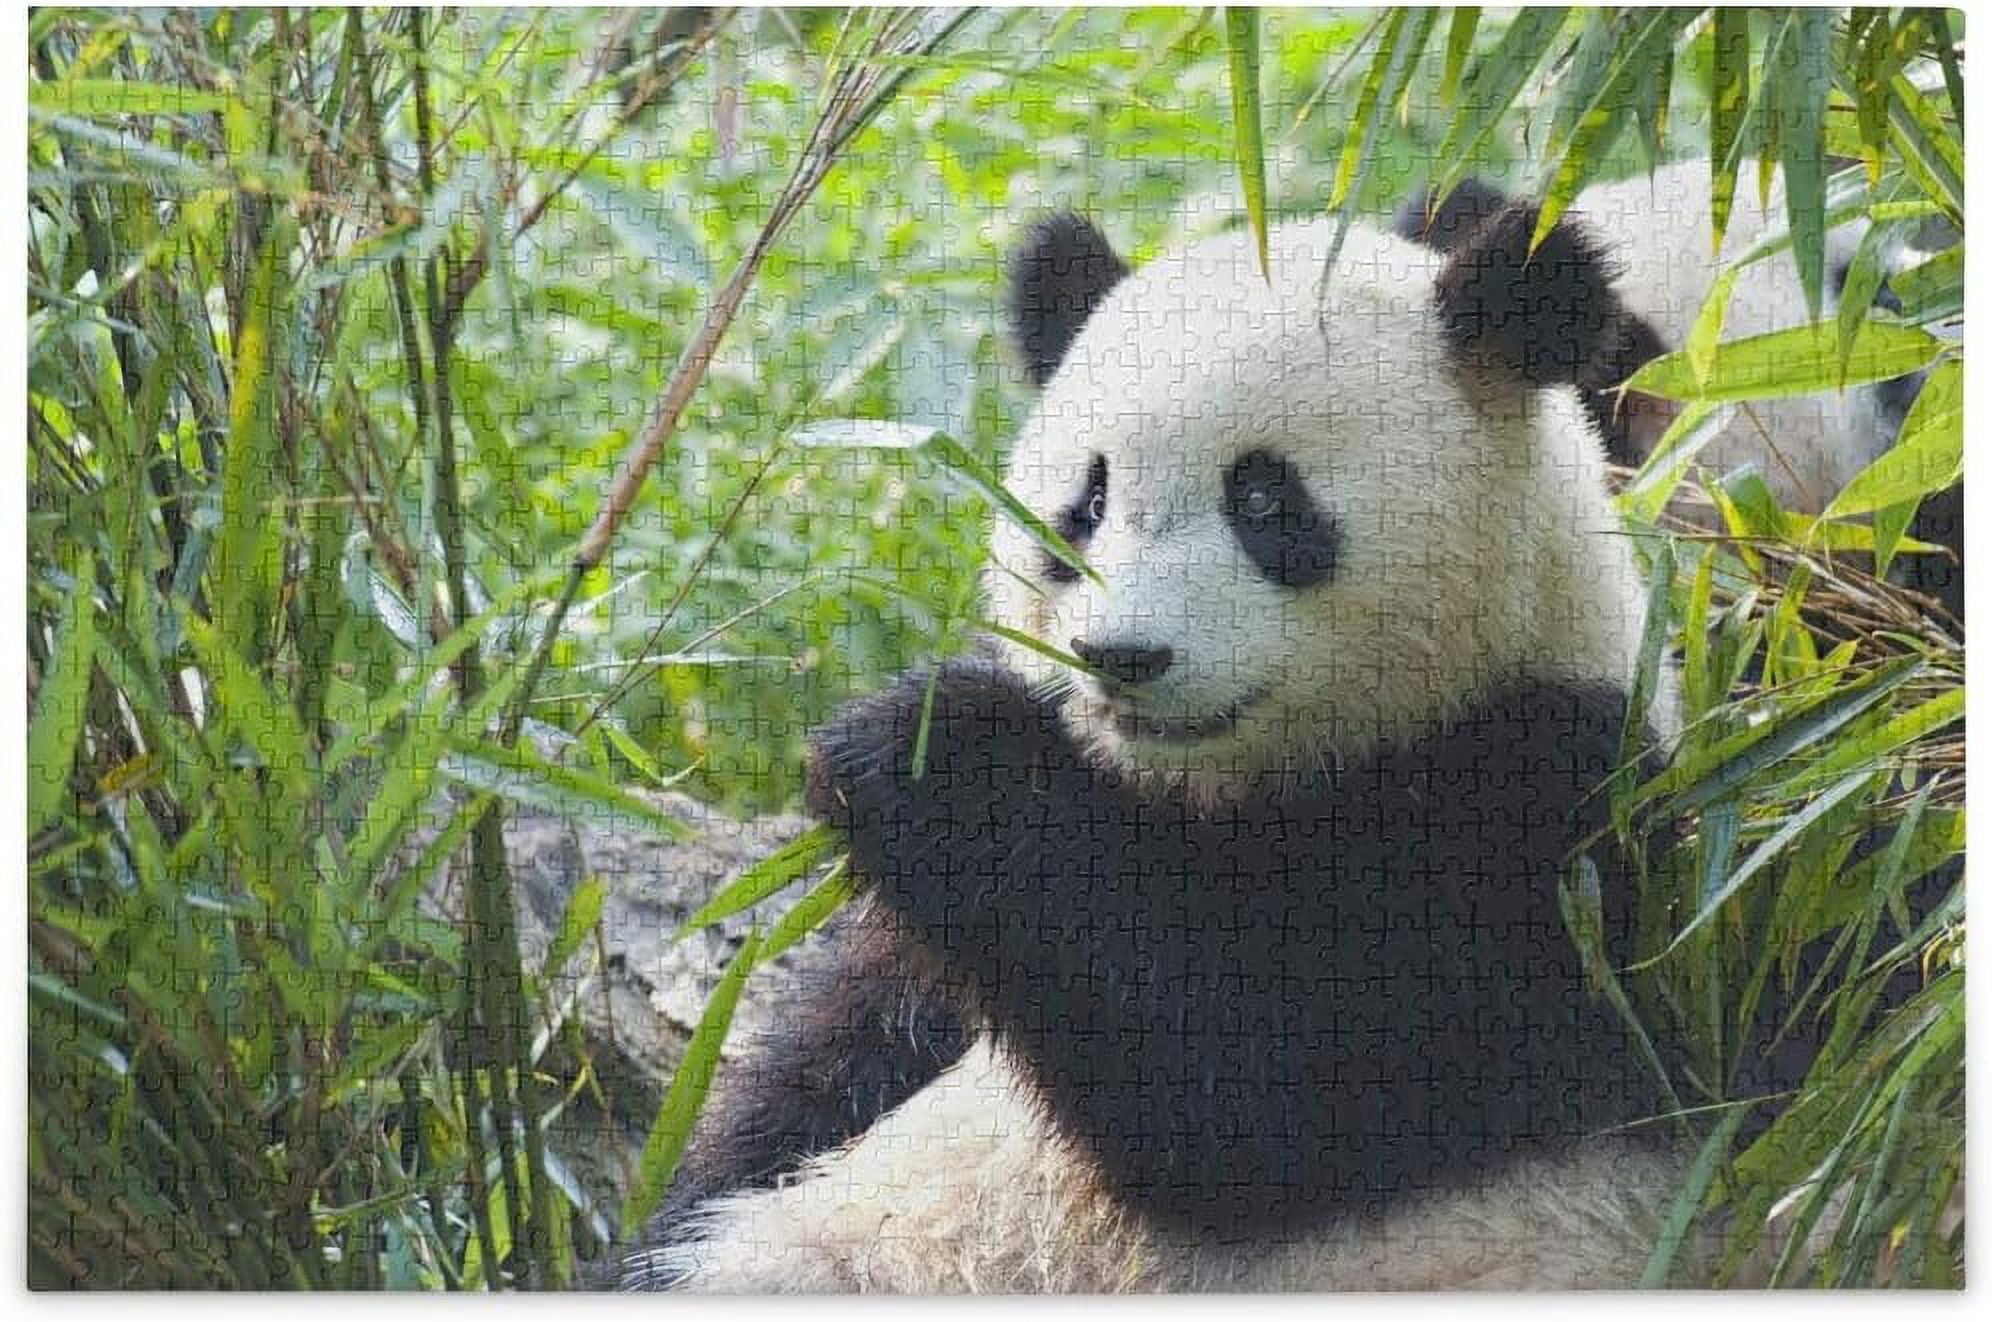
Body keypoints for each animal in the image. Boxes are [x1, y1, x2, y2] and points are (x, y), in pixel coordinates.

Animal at [619, 201, 1692, 1292]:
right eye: (1085, 504)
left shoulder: (1554, 829)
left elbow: (1266, 1090)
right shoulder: (939, 976)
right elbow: (825, 1075)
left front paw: (930, 745)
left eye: (1263, 501)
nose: (1120, 655)